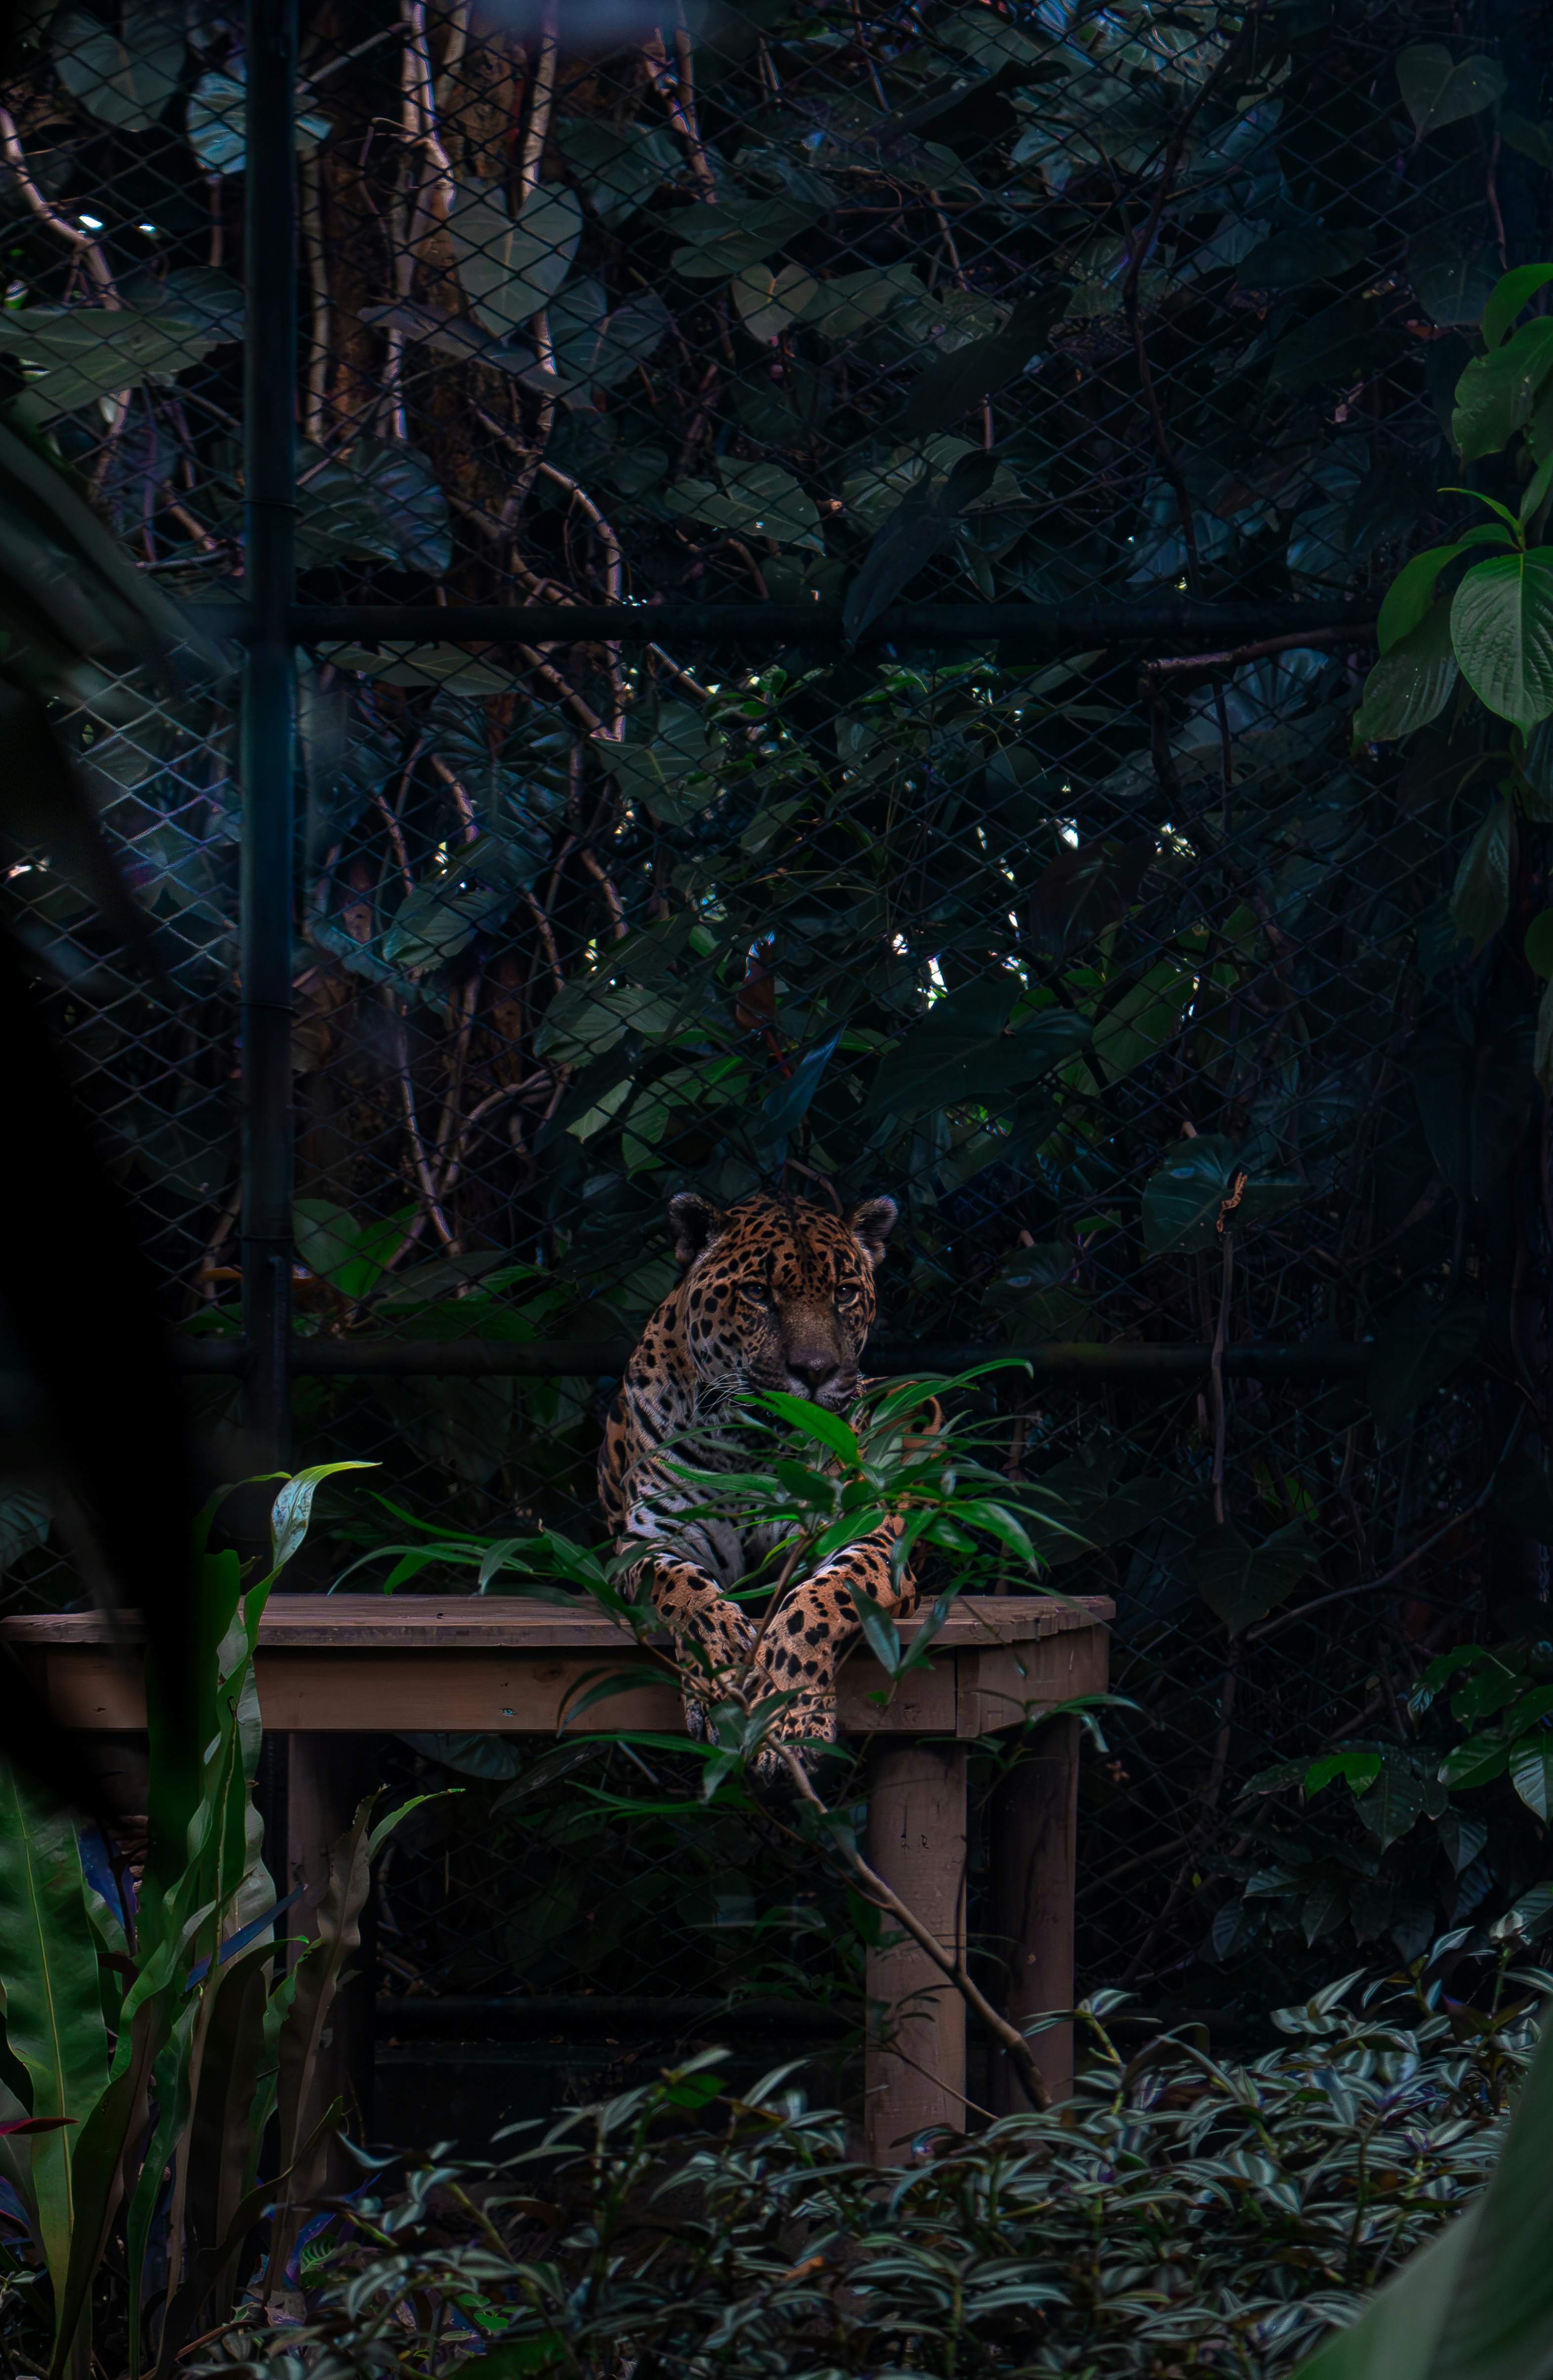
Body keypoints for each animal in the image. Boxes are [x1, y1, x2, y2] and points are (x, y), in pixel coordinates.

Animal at [598, 1188, 917, 1761]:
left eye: (844, 1293)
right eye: (756, 1292)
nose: (815, 1370)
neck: (751, 1450)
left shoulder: (868, 1537)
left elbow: (821, 1598)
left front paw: (791, 1707)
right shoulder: (651, 1541)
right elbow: (686, 1589)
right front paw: (724, 1661)